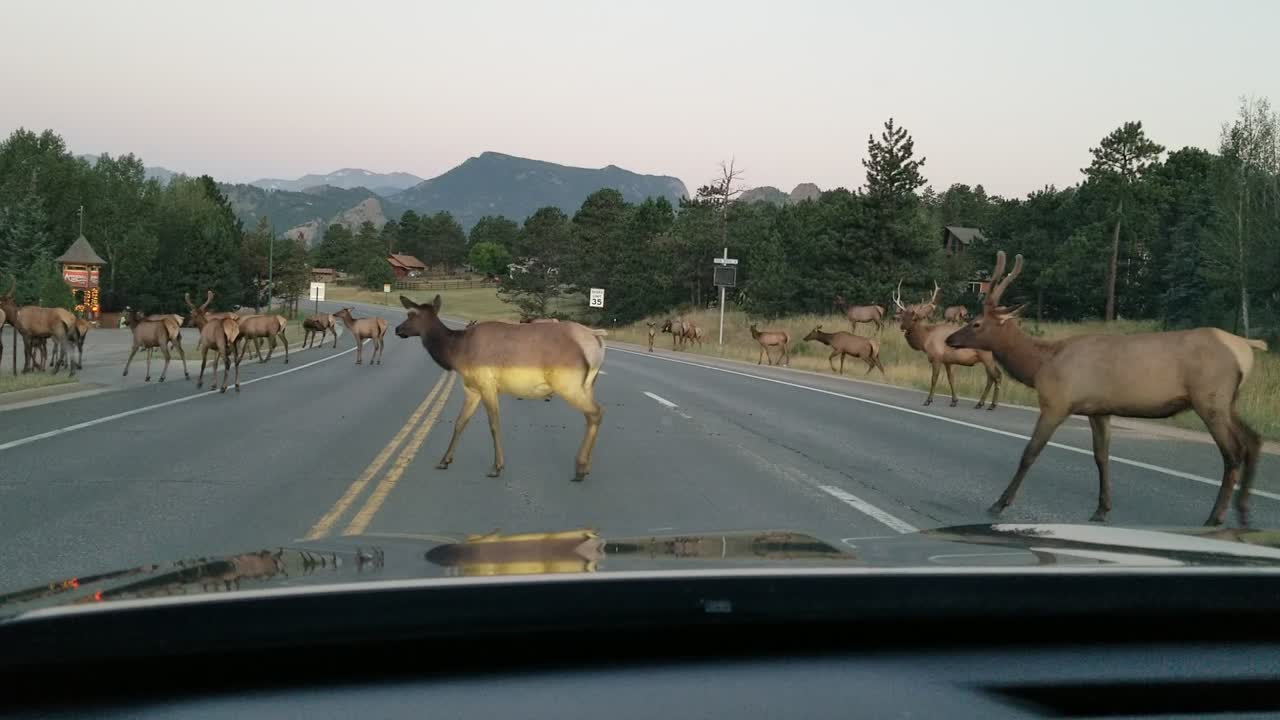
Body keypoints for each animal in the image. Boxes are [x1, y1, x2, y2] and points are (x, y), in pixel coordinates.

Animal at [395, 294, 607, 481]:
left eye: (411, 314)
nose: (397, 329)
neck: (456, 354)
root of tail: (596, 340)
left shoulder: (487, 384)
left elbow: (494, 424)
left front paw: (497, 467)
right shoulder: (472, 389)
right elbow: (460, 422)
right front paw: (444, 460)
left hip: (568, 383)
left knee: (596, 412)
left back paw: (580, 468)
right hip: (587, 385)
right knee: (593, 416)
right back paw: (586, 467)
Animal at [894, 280, 1001, 410]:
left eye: (914, 318)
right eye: (904, 316)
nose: (902, 327)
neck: (925, 340)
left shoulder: (937, 358)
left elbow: (934, 379)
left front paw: (928, 400)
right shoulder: (947, 361)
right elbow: (951, 379)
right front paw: (954, 401)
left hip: (987, 357)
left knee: (997, 377)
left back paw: (992, 405)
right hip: (988, 359)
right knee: (991, 378)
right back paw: (980, 403)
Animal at [946, 251, 1268, 526]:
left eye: (976, 323)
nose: (950, 339)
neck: (1039, 365)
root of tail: (1246, 347)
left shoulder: (1056, 403)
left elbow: (1030, 452)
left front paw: (1000, 503)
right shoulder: (1098, 410)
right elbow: (1101, 457)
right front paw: (1102, 509)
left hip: (1209, 398)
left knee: (1233, 452)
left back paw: (1215, 517)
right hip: (1227, 401)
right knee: (1254, 439)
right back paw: (1243, 512)